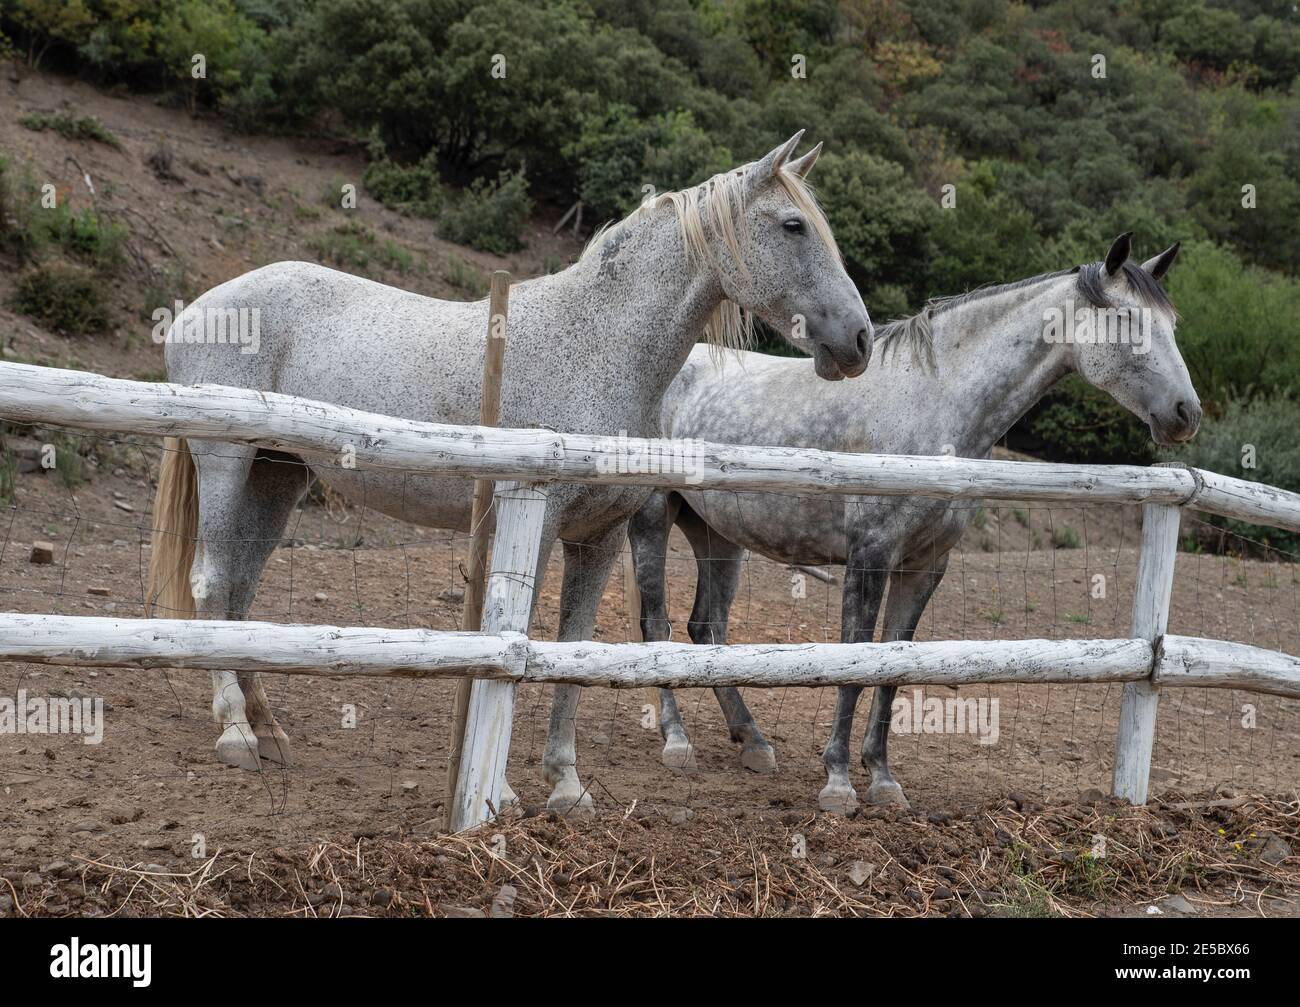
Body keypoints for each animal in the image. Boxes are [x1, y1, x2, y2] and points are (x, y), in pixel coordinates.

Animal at [144, 132, 873, 815]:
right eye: (793, 225)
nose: (860, 340)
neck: (597, 346)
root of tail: (197, 310)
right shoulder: (535, 524)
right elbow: (512, 642)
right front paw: (504, 793)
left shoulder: (599, 538)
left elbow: (574, 649)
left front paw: (567, 786)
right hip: (227, 463)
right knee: (212, 582)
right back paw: (237, 732)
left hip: (278, 474)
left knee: (242, 591)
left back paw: (269, 727)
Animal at [628, 233, 1200, 812]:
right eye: (1127, 319)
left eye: (1172, 324)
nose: (1186, 413)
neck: (931, 402)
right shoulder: (870, 556)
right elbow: (855, 661)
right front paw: (838, 782)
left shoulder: (925, 566)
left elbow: (894, 666)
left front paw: (882, 779)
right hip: (653, 518)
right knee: (658, 627)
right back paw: (678, 742)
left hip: (718, 535)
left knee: (708, 629)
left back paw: (754, 741)